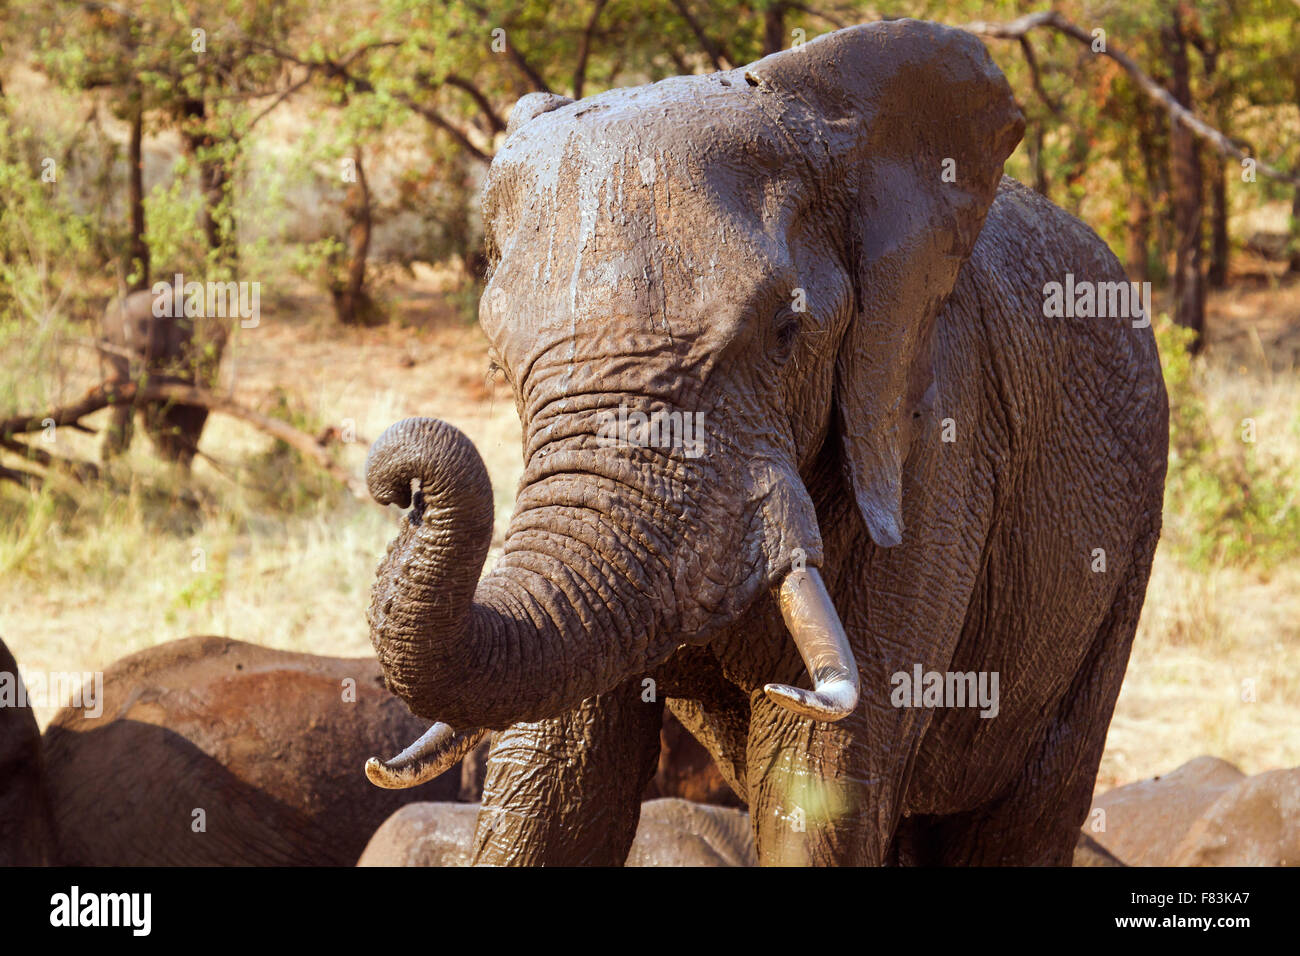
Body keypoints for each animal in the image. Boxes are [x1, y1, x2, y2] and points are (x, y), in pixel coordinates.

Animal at [362, 19, 1168, 866]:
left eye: (787, 331)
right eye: (497, 364)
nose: (403, 484)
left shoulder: (938, 429)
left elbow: (818, 780)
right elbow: (555, 785)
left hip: (1124, 558)